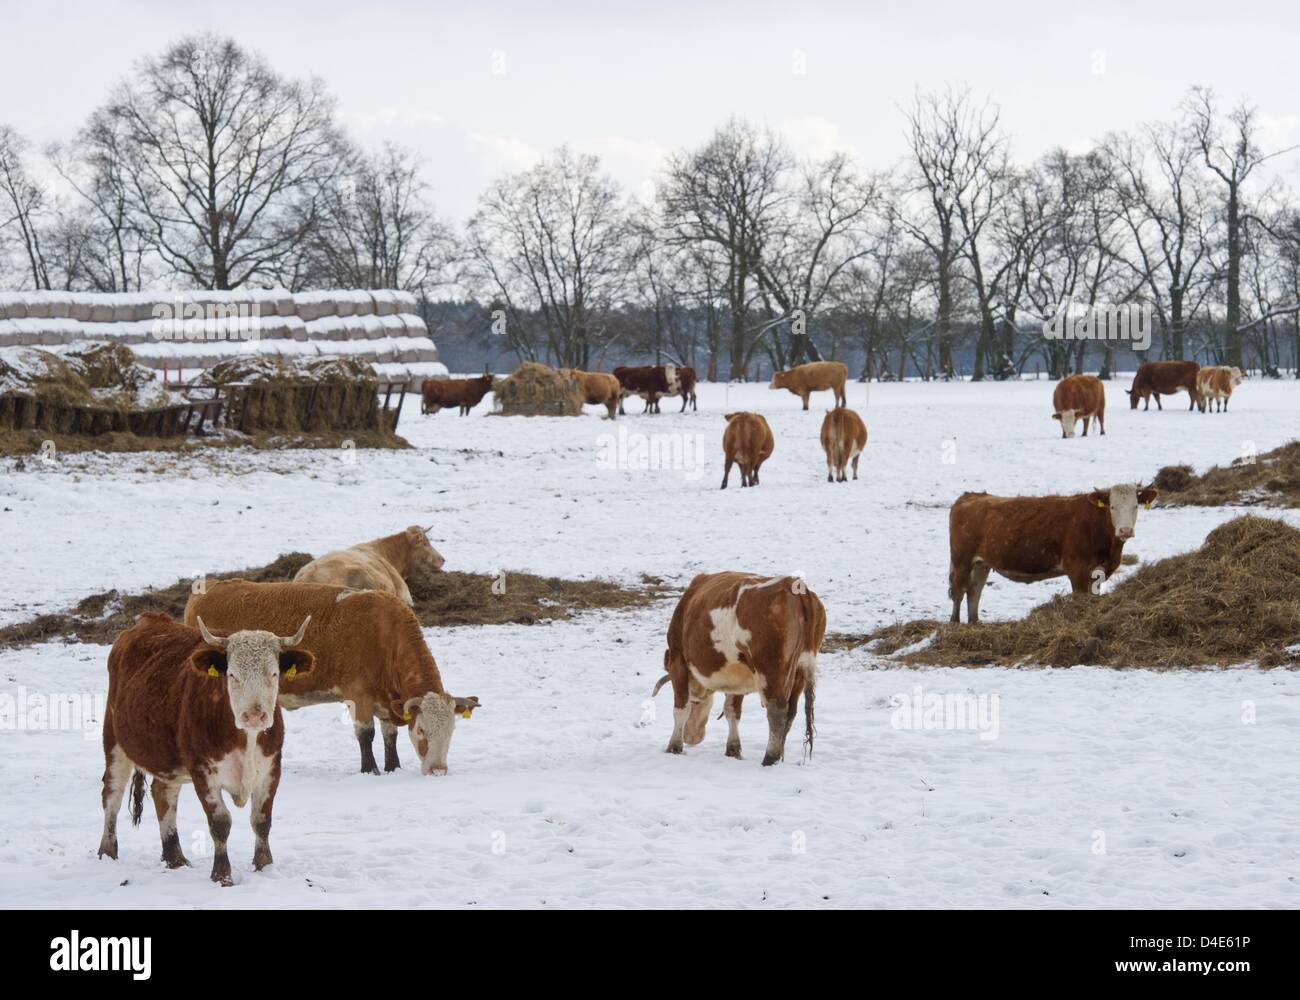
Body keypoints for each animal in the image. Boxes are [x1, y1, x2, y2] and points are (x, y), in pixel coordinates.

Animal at [98, 612, 314, 885]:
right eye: (232, 675)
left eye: (274, 674)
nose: (254, 716)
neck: (245, 738)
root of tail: (150, 619)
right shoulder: (203, 771)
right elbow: (220, 823)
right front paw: (222, 874)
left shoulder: (271, 768)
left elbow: (261, 820)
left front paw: (265, 867)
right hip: (114, 742)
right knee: (112, 795)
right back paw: (107, 852)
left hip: (167, 759)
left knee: (163, 794)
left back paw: (174, 858)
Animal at [185, 581, 479, 776]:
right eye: (421, 731)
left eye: (451, 732)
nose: (437, 770)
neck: (384, 634)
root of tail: (211, 588)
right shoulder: (359, 696)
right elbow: (366, 734)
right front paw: (370, 770)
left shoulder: (387, 701)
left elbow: (390, 735)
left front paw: (392, 766)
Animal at [651, 572, 826, 765]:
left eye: (697, 701)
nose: (692, 738)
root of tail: (793, 585)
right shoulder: (736, 676)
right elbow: (732, 710)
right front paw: (733, 748)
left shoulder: (678, 659)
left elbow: (681, 708)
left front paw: (674, 746)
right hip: (798, 671)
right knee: (790, 712)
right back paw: (779, 754)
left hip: (771, 668)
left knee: (777, 711)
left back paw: (770, 757)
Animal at [948, 483, 1159, 623]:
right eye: (1112, 506)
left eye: (1135, 506)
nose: (1125, 530)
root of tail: (970, 496)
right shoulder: (1077, 569)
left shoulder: (1099, 572)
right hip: (961, 560)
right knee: (958, 592)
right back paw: (955, 623)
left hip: (981, 563)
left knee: (974, 591)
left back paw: (974, 623)